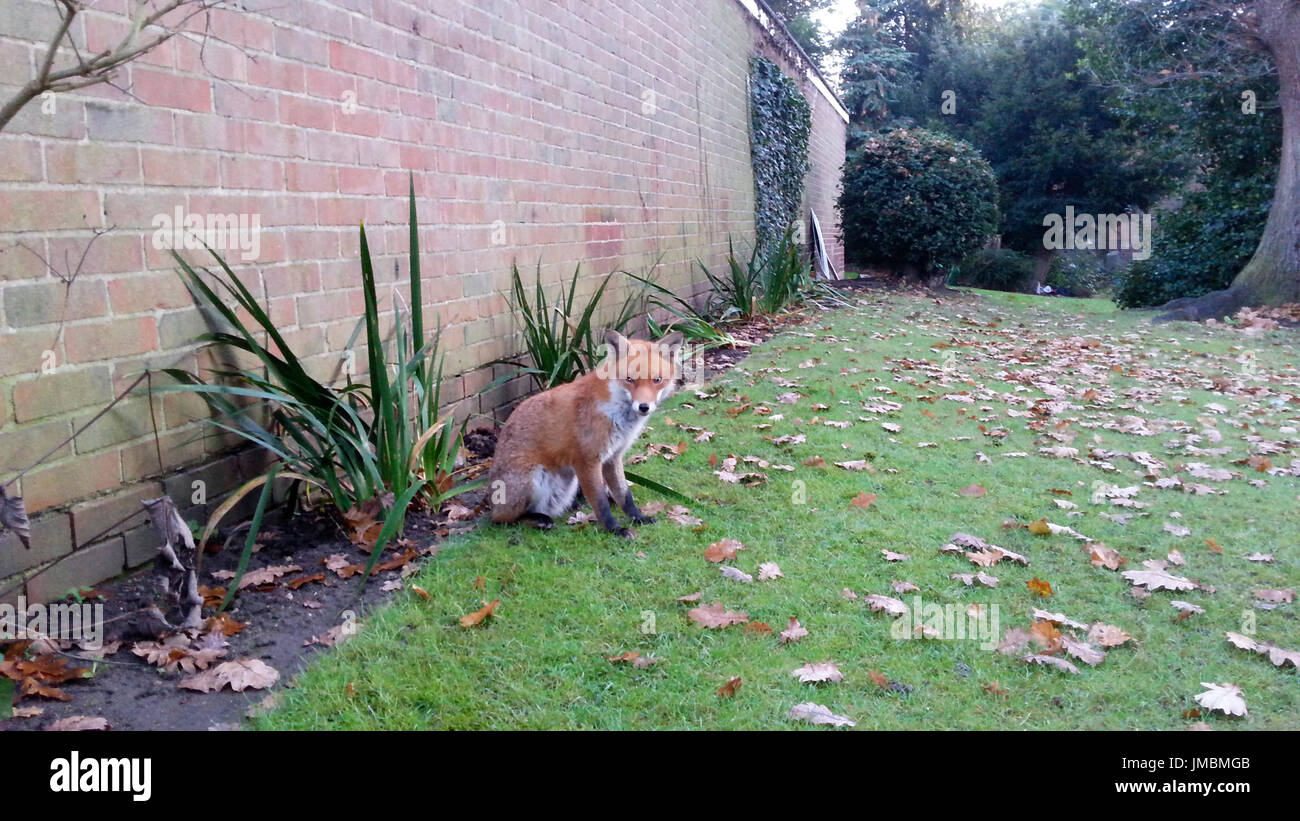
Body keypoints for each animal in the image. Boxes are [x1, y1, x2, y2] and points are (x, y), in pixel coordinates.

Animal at [489, 329, 684, 538]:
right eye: (630, 380)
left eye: (657, 380)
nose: (644, 407)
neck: (616, 410)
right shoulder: (587, 460)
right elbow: (600, 502)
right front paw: (615, 530)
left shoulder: (613, 456)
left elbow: (625, 495)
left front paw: (638, 518)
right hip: (533, 479)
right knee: (502, 519)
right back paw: (539, 520)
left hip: (568, 485)